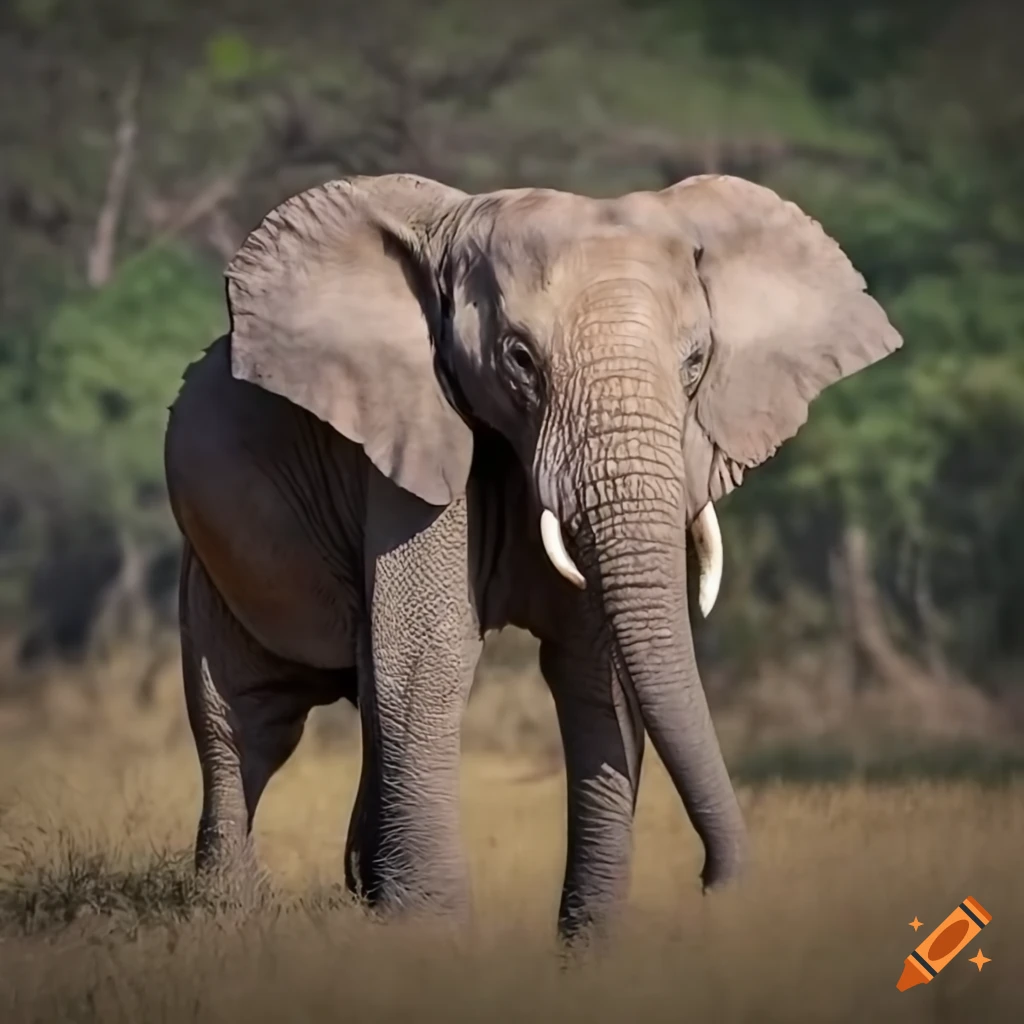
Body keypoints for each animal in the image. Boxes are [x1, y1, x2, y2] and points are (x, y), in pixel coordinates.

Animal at [163, 171, 902, 942]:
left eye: (696, 362)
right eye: (520, 358)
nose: (714, 884)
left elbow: (592, 669)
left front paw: (589, 947)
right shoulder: (409, 442)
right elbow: (428, 653)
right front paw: (429, 934)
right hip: (213, 546)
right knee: (246, 716)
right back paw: (230, 911)